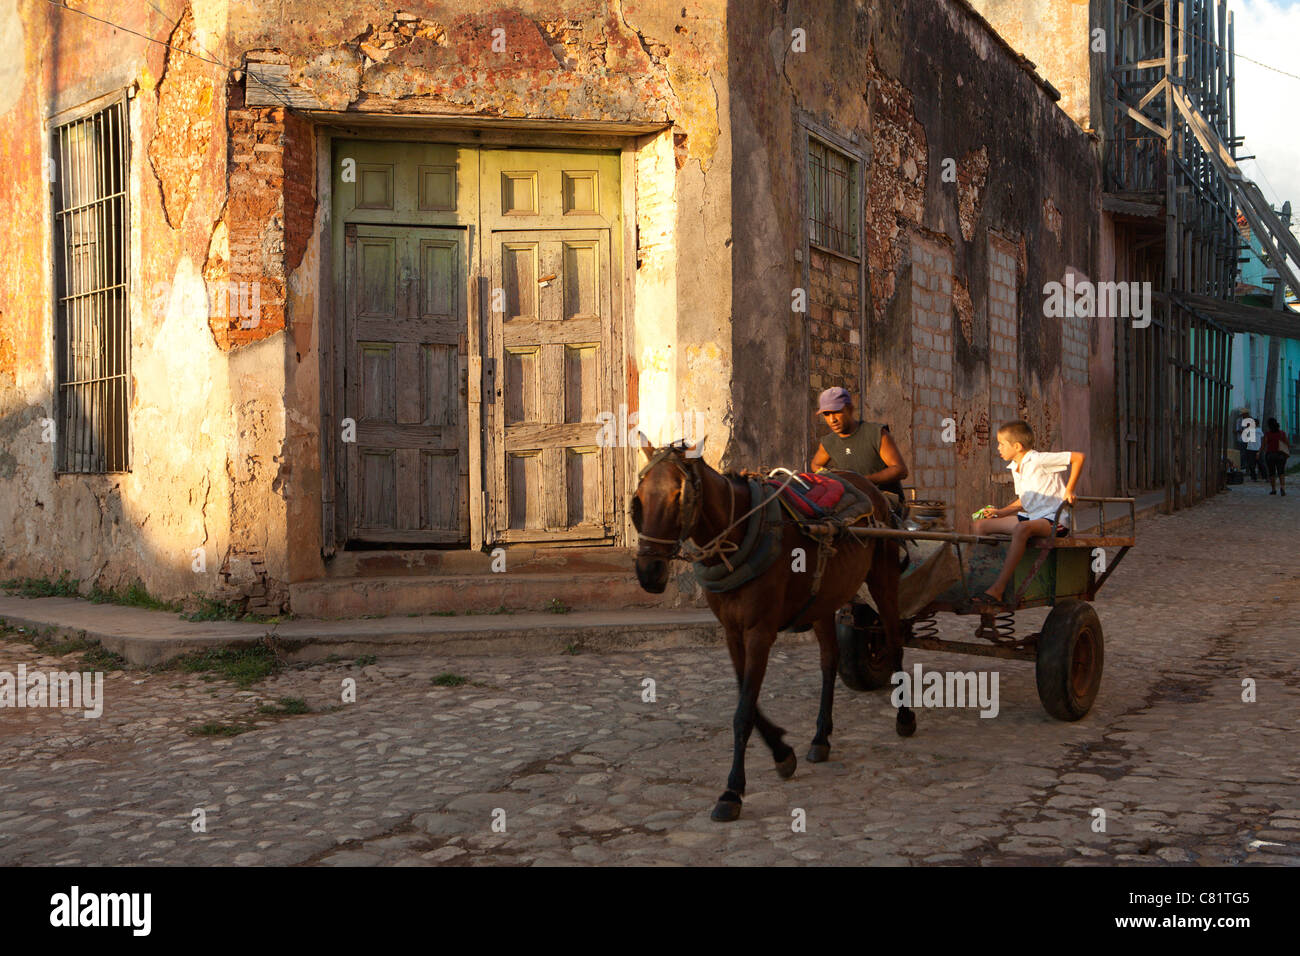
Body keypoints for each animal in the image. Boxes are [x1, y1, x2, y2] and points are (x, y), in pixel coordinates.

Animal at [632, 433, 913, 822]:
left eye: (681, 496)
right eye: (639, 498)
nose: (649, 573)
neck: (739, 532)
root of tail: (870, 488)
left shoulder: (759, 631)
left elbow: (743, 711)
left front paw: (732, 791)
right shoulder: (733, 632)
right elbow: (746, 698)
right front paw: (782, 752)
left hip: (883, 578)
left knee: (895, 640)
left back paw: (905, 717)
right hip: (823, 599)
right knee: (829, 661)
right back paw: (820, 738)